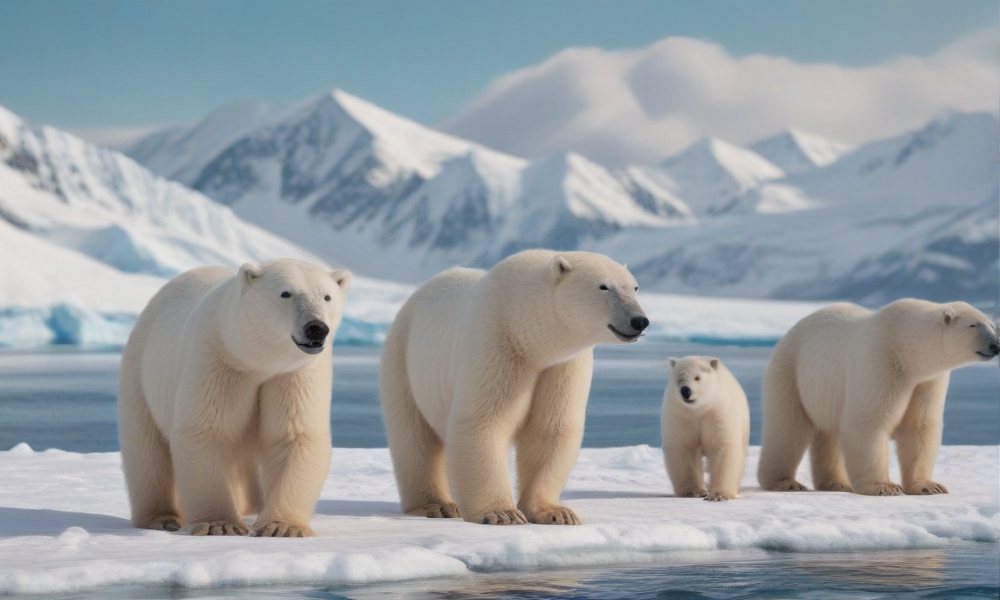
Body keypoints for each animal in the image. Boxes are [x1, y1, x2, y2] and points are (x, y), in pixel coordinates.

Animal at [117, 258, 352, 536]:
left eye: (327, 296)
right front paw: (219, 525)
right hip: (142, 372)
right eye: (286, 293)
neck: (257, 360)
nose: (316, 328)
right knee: (147, 451)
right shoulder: (220, 360)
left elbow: (294, 435)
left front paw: (282, 527)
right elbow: (208, 430)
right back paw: (162, 518)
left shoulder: (294, 374)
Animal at [379, 249, 649, 525]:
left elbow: (551, 428)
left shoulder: (562, 366)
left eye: (634, 287)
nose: (639, 321)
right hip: (404, 360)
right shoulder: (498, 344)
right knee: (414, 437)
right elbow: (483, 420)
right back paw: (436, 505)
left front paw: (557, 512)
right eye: (604, 286)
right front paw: (502, 513)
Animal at [661, 356, 750, 501]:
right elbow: (684, 449)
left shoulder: (718, 413)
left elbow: (723, 447)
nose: (686, 391)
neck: (699, 410)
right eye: (679, 378)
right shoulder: (681, 417)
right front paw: (693, 491)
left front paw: (719, 495)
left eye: (697, 377)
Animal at [758, 299, 999, 496]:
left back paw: (838, 483)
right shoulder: (881, 361)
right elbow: (869, 420)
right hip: (790, 371)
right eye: (973, 325)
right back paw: (785, 482)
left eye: (992, 325)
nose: (996, 345)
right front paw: (885, 487)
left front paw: (929, 486)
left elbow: (919, 426)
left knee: (829, 433)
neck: (906, 346)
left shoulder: (927, 381)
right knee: (788, 427)